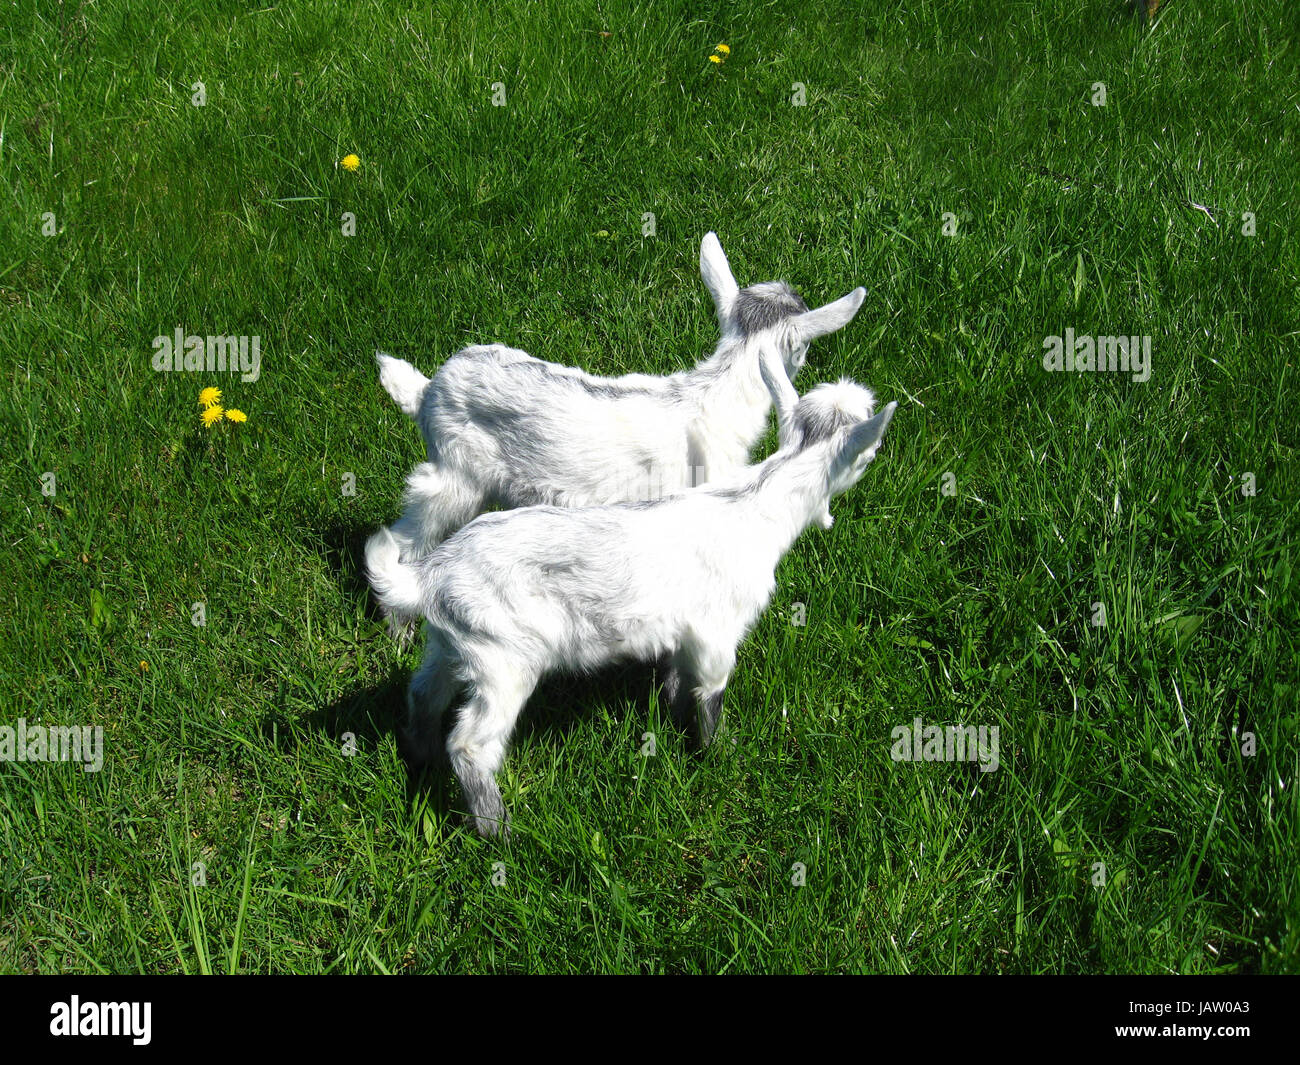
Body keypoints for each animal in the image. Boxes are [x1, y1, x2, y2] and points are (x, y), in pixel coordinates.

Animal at [365, 359, 897, 836]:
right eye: (869, 449)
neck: (755, 505)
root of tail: (432, 579)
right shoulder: (718, 633)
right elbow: (711, 696)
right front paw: (720, 756)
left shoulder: (685, 633)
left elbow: (680, 682)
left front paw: (675, 718)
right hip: (503, 661)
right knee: (470, 745)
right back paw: (500, 832)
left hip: (449, 644)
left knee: (423, 692)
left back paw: (420, 754)